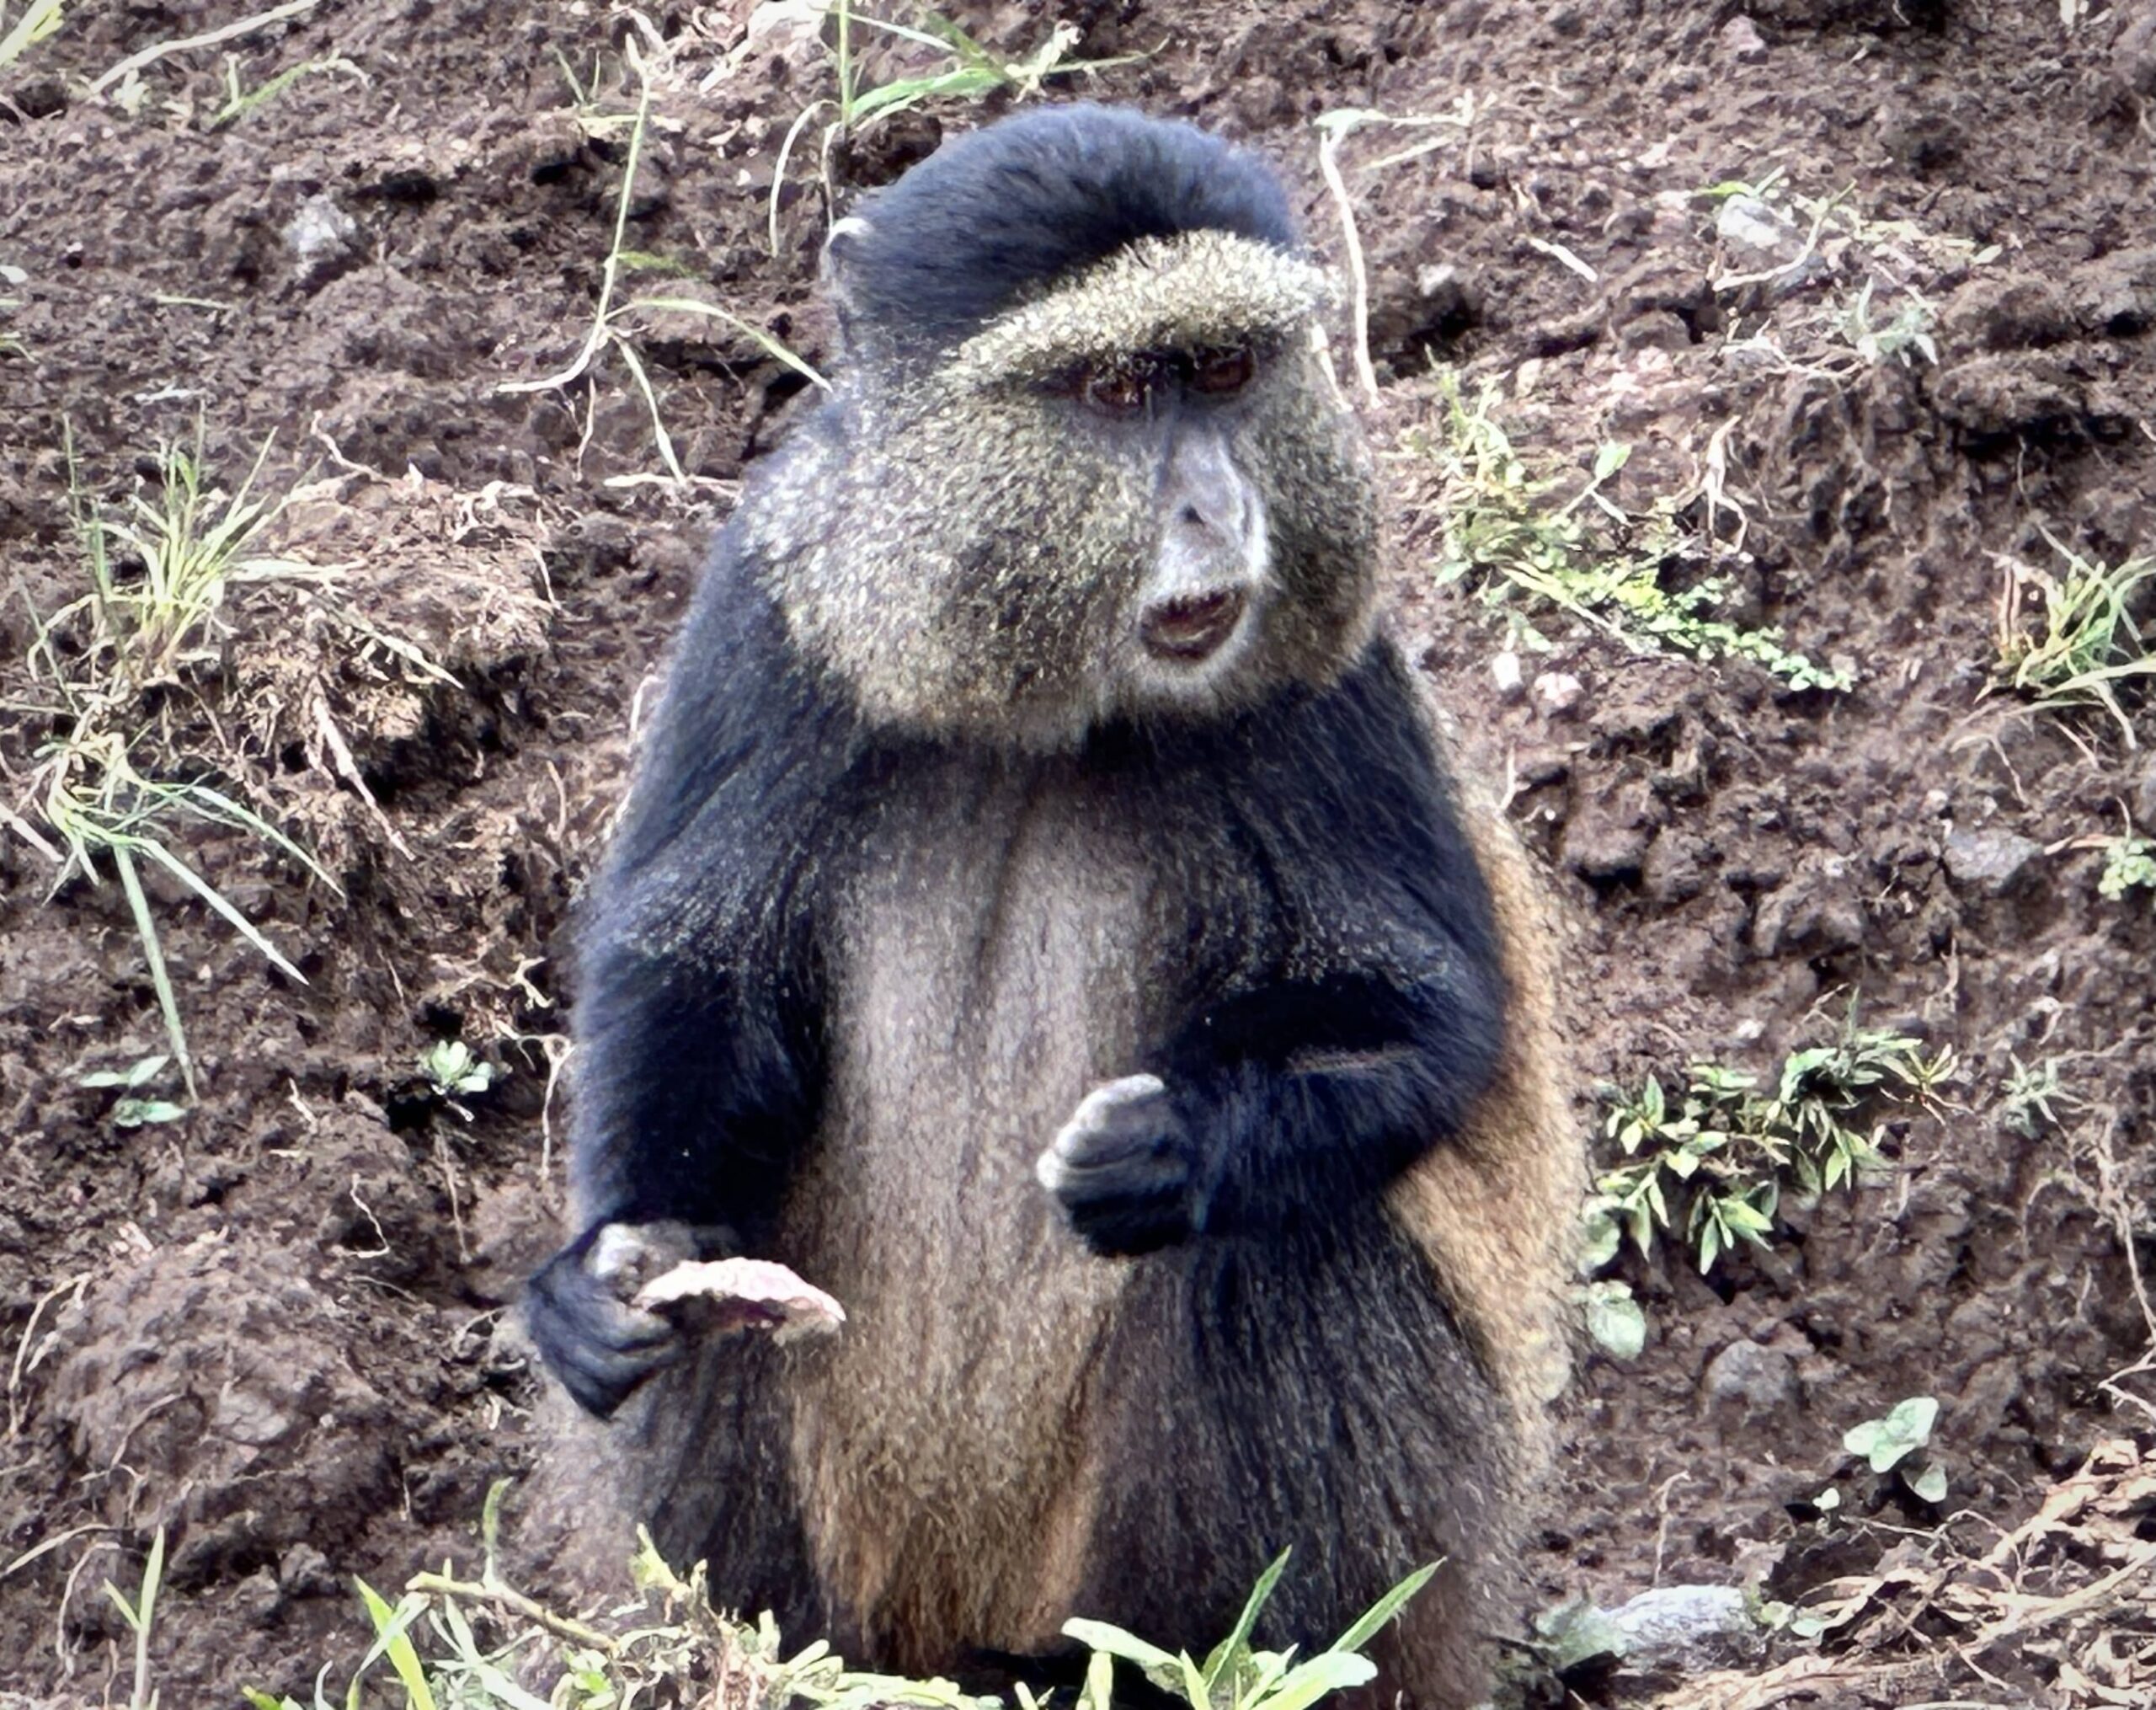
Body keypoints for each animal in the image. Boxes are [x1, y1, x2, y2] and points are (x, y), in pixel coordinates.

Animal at [523, 103, 1580, 1710]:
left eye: (1227, 374)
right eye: (1119, 391)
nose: (1218, 506)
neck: (1048, 712)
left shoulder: (1329, 679)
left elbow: (1422, 1023)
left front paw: (1183, 1141)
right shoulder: (772, 613)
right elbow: (696, 969)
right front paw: (592, 1277)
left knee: (1291, 1241)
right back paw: (750, 1654)